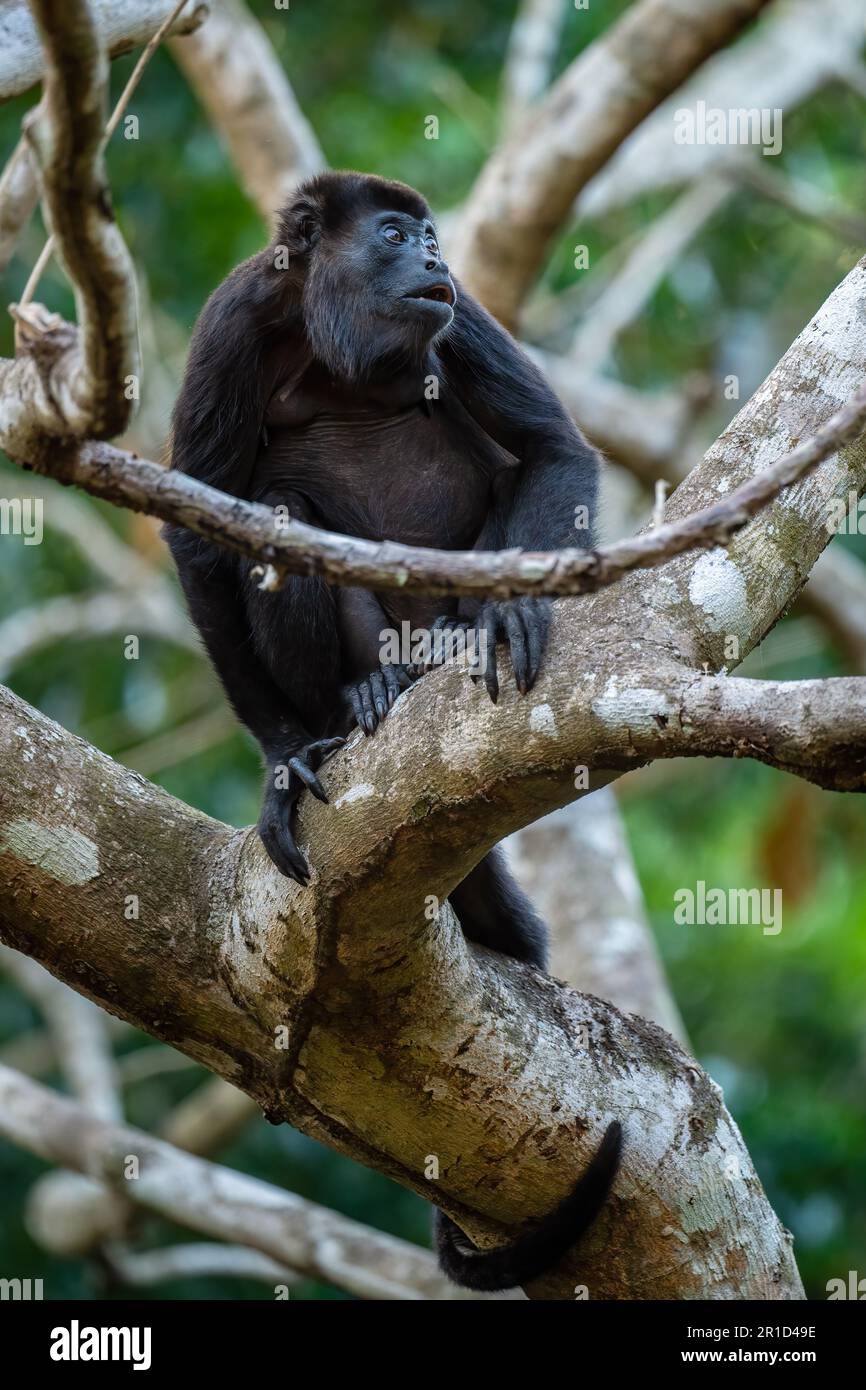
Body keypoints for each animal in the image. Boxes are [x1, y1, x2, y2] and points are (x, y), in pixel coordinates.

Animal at [165, 171, 621, 1290]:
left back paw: (442, 649)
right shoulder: (235, 320)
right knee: (278, 513)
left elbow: (551, 447)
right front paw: (281, 759)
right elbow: (203, 531)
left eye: (429, 236)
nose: (434, 257)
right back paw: (362, 702)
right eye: (391, 234)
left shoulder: (459, 320)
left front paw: (511, 611)